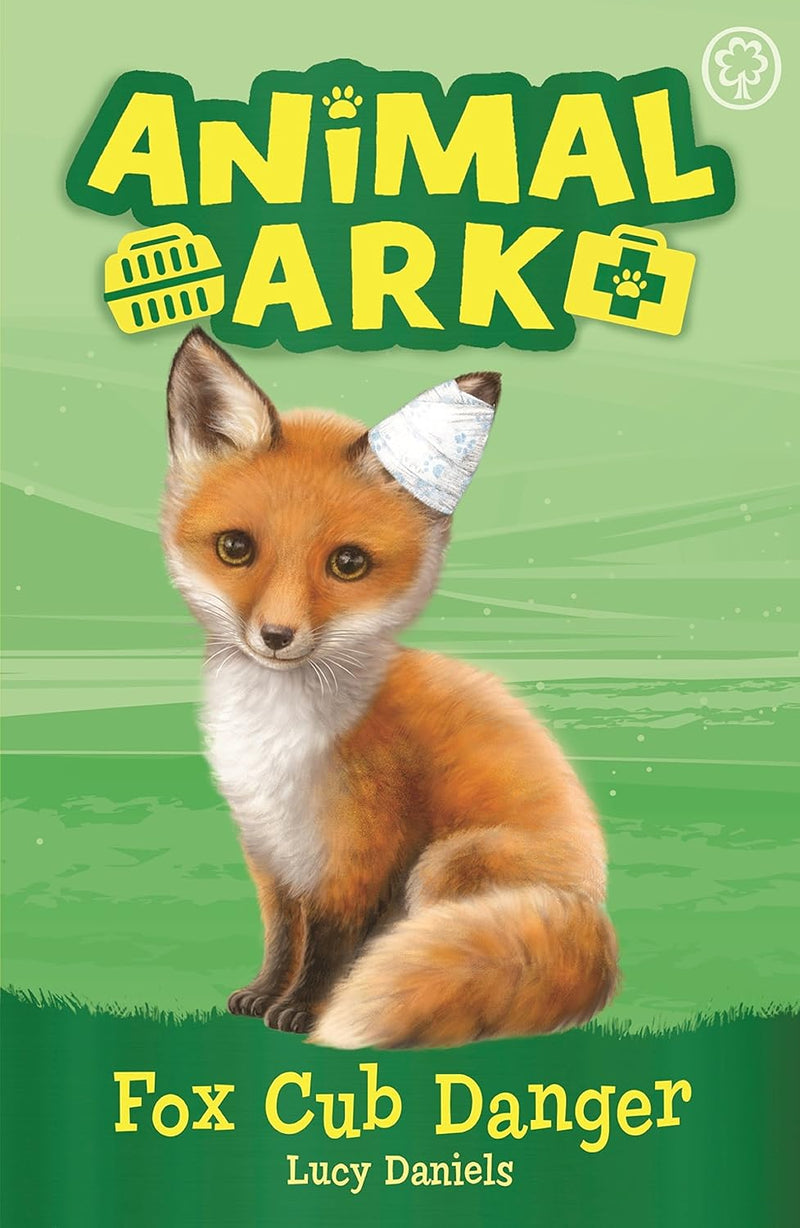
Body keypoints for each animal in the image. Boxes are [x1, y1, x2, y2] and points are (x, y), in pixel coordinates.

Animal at [161, 327, 618, 1049]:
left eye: (348, 563)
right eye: (235, 548)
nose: (276, 636)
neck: (277, 742)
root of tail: (595, 920)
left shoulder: (357, 856)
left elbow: (328, 946)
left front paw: (304, 1011)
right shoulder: (271, 852)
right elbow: (283, 937)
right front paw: (264, 994)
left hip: (449, 863)